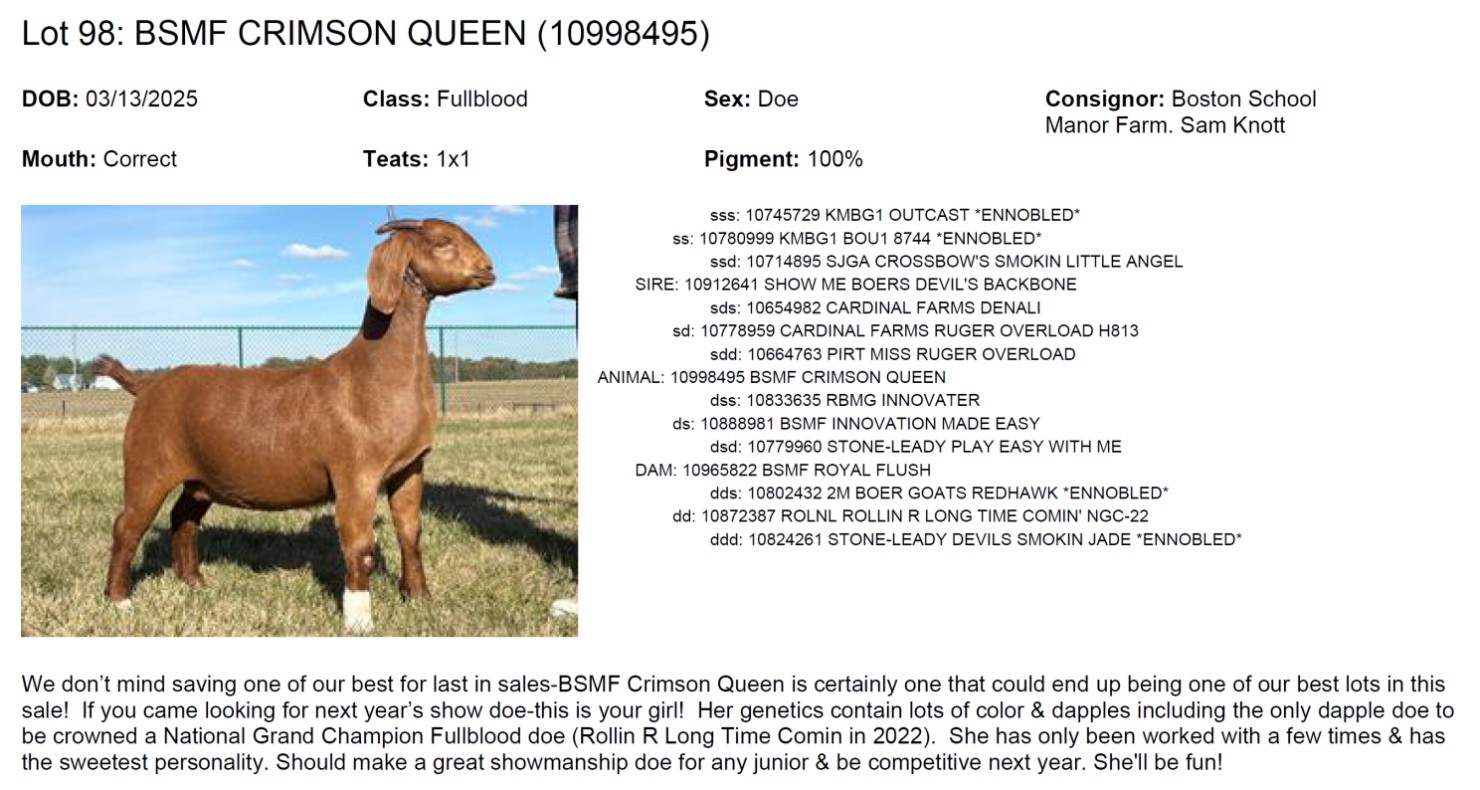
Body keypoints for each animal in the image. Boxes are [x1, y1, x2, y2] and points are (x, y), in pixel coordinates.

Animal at [96, 218, 495, 632]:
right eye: (442, 241)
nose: (489, 268)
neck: (375, 370)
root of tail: (146, 385)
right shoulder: (356, 473)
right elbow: (360, 547)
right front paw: (358, 621)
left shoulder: (410, 466)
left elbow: (410, 533)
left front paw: (418, 597)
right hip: (147, 464)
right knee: (127, 525)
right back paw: (119, 599)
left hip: (201, 477)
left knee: (183, 518)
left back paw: (193, 582)